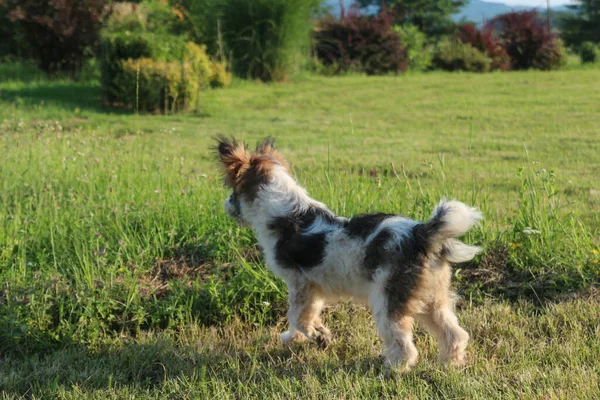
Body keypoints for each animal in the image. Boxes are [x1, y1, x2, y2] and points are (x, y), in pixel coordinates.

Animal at [216, 138, 482, 372]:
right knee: (455, 334)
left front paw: (317, 336)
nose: (224, 205)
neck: (286, 213)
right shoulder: (313, 290)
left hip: (388, 301)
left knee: (404, 345)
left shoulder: (300, 284)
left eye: (233, 191)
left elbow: (298, 316)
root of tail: (421, 234)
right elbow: (303, 317)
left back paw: (394, 369)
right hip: (431, 299)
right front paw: (298, 337)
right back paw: (450, 364)